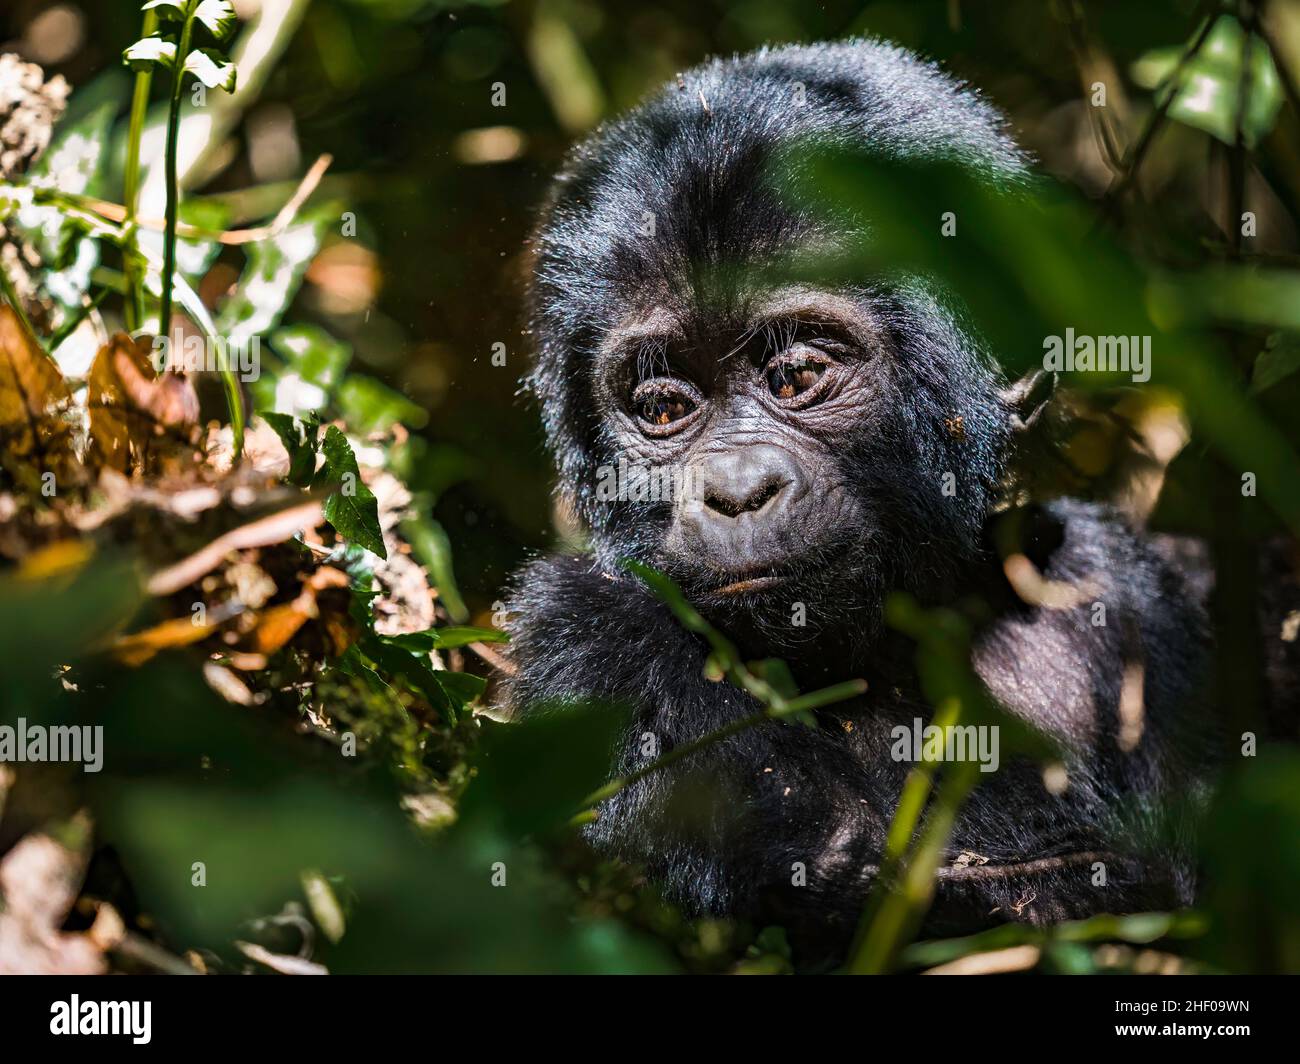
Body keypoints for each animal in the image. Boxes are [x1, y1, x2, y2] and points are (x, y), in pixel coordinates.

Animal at [493, 39, 1206, 952]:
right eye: (661, 408)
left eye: (798, 375)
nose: (738, 491)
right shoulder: (578, 639)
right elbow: (844, 866)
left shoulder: (1126, 595)